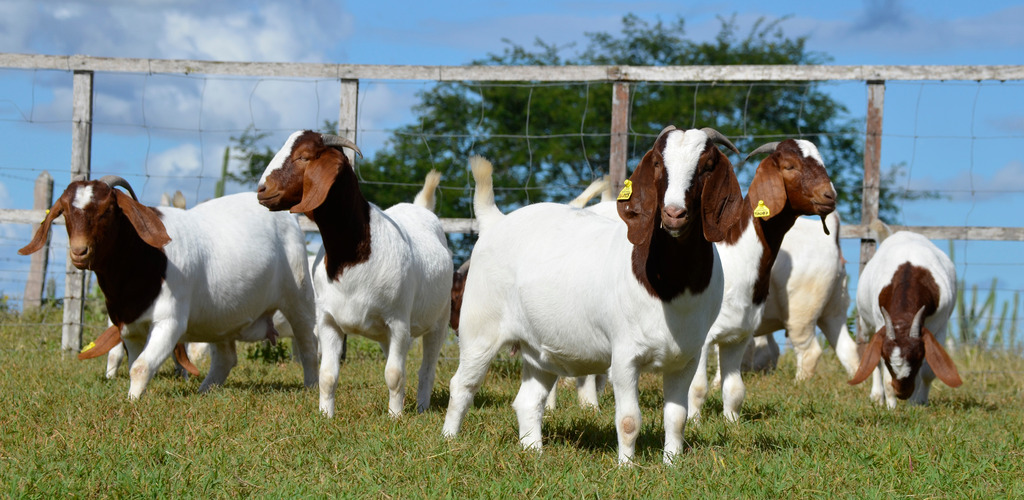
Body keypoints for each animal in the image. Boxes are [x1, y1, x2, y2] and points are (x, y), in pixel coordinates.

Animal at [19, 177, 318, 399]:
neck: (146, 259)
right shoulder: (129, 328)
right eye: (66, 213)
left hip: (299, 297)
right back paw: (204, 392)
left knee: (308, 345)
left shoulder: (169, 322)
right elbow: (132, 363)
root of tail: (288, 219)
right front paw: (133, 399)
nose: (79, 252)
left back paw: (311, 387)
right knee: (225, 358)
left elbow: (141, 367)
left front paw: (131, 403)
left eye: (107, 211)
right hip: (223, 315)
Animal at [257, 130, 452, 418]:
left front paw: (395, 417)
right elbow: (327, 375)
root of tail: (420, 208)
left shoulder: (399, 322)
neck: (352, 255)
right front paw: (325, 416)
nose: (262, 190)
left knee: (426, 368)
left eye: (304, 156)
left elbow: (394, 374)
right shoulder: (328, 321)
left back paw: (421, 407)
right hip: (384, 334)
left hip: (439, 318)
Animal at [442, 127, 745, 465]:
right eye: (656, 163)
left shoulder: (686, 358)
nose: (674, 213)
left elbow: (677, 418)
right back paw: (450, 440)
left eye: (707, 165)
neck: (670, 287)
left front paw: (672, 463)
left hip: (537, 349)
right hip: (479, 328)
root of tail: (496, 221)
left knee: (528, 400)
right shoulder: (624, 356)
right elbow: (628, 420)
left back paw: (534, 451)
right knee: (463, 384)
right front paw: (626, 467)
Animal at [849, 231, 962, 408]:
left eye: (918, 360)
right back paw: (877, 396)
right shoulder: (881, 325)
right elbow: (882, 368)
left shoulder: (939, 327)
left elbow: (928, 371)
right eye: (888, 360)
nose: (902, 393)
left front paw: (917, 403)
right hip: (866, 325)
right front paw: (891, 406)